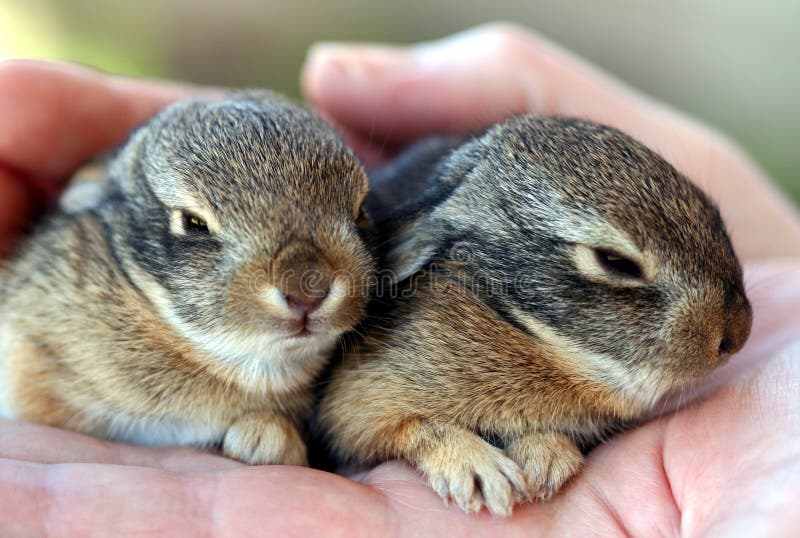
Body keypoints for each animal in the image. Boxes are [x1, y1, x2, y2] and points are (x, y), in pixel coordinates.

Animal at [314, 116, 753, 515]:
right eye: (615, 262)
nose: (738, 333)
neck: (527, 332)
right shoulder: (358, 407)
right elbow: (418, 428)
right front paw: (480, 473)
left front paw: (546, 460)